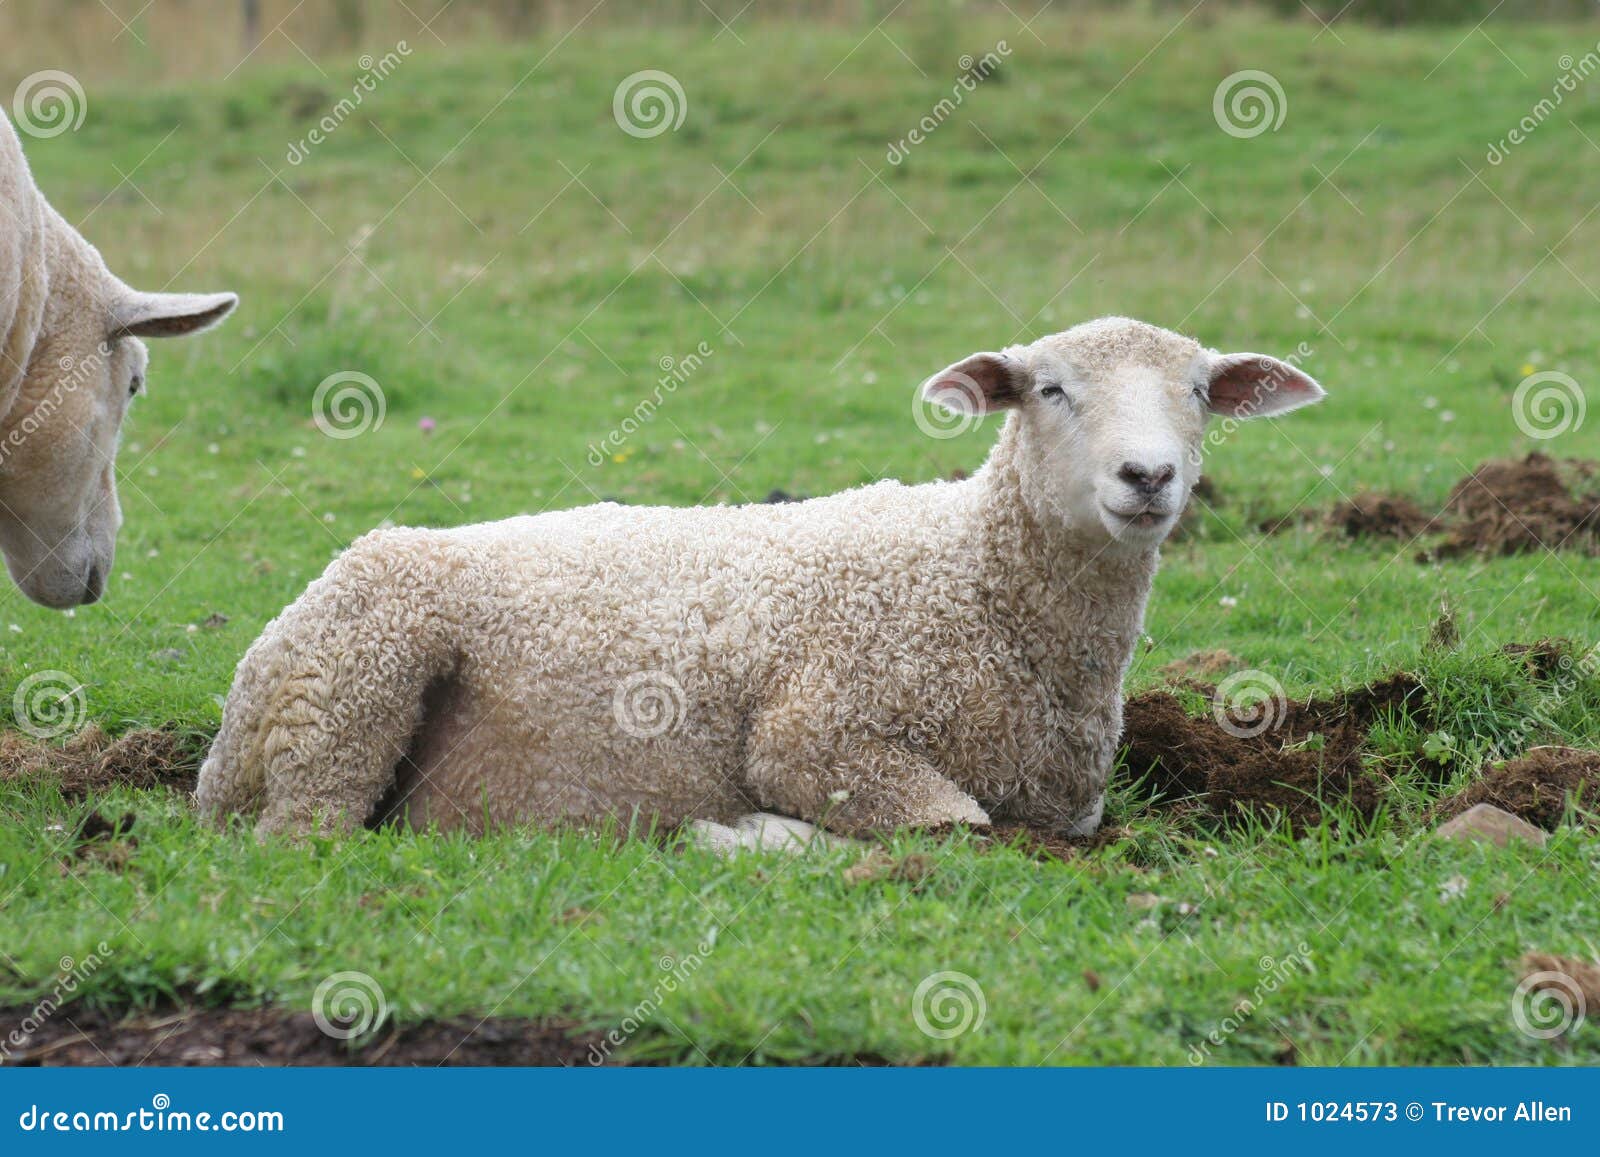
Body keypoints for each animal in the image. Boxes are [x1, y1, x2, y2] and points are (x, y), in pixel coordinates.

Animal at [196, 317, 1324, 844]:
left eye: (1198, 391)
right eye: (1049, 388)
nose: (1148, 477)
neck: (971, 577)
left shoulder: (1070, 807)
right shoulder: (815, 733)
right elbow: (954, 824)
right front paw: (745, 832)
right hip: (351, 680)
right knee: (301, 830)